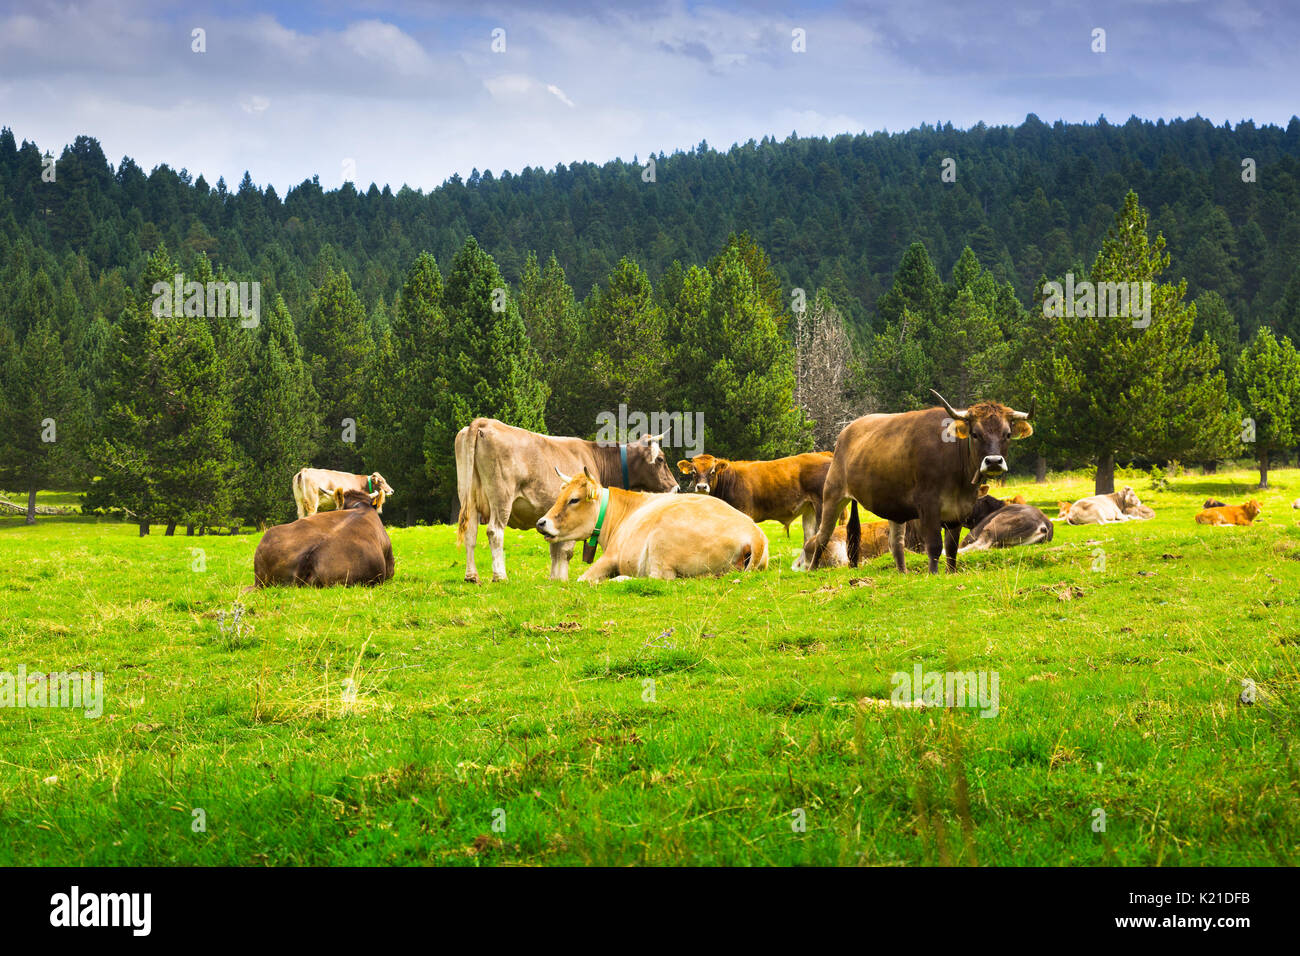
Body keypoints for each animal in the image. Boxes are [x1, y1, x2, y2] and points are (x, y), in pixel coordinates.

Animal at [456, 418, 680, 583]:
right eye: (661, 459)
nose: (676, 488)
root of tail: (484, 422)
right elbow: (565, 551)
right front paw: (562, 578)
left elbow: (555, 549)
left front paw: (555, 578)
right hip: (501, 497)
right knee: (495, 531)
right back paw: (500, 576)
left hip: (468, 496)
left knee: (470, 533)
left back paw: (471, 576)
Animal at [536, 467, 768, 582]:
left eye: (574, 499)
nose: (541, 523)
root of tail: (753, 532)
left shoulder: (611, 556)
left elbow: (582, 579)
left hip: (660, 544)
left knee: (657, 578)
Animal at [801, 391, 1034, 573]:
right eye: (975, 434)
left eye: (1007, 434)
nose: (993, 461)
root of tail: (845, 432)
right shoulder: (928, 505)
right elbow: (935, 545)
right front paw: (933, 573)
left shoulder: (959, 510)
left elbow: (951, 548)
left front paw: (951, 572)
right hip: (832, 495)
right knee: (822, 536)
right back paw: (812, 569)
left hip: (893, 507)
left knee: (896, 544)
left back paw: (902, 572)